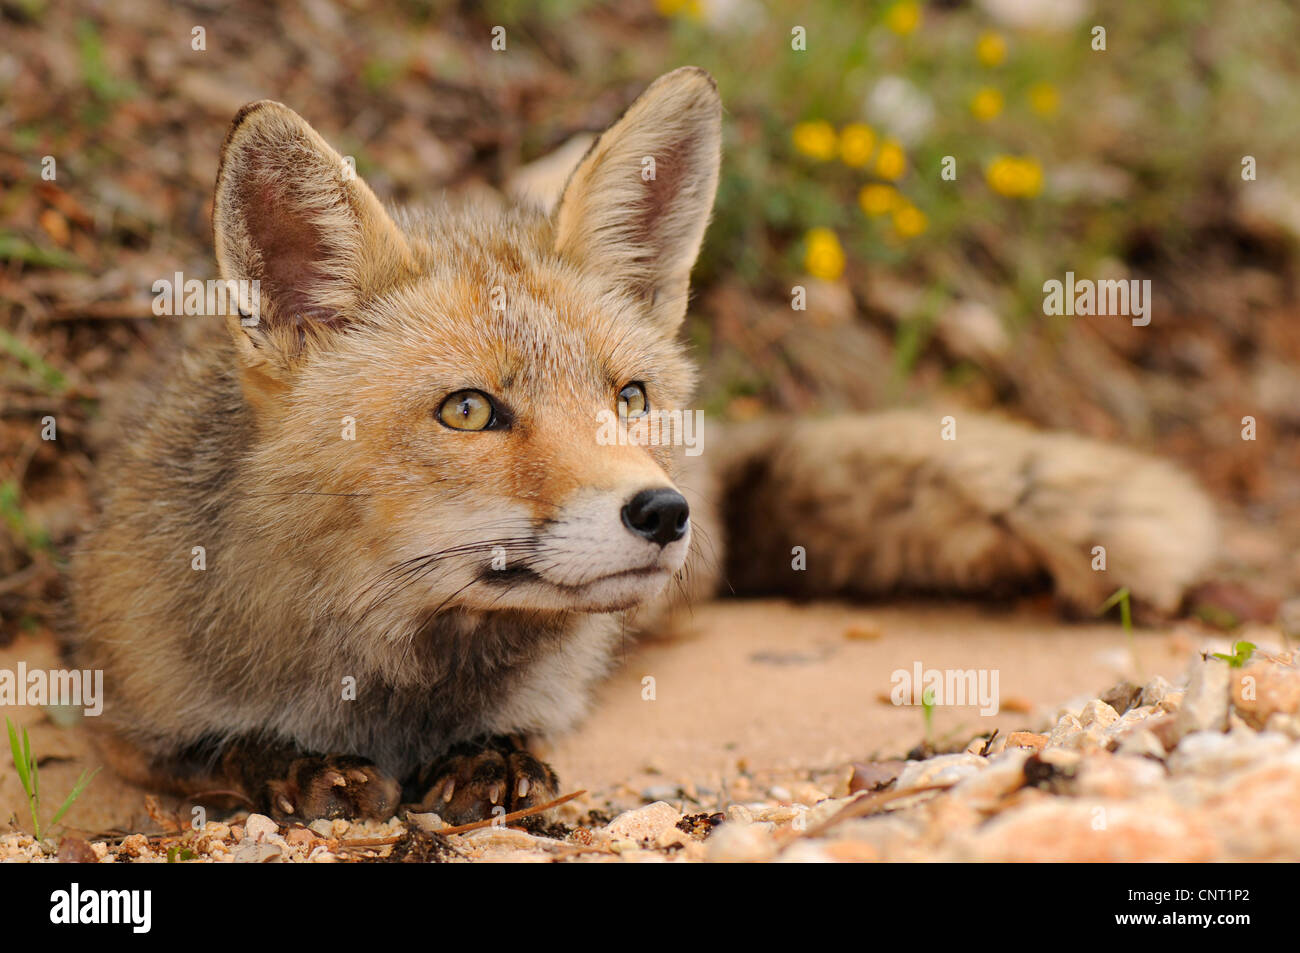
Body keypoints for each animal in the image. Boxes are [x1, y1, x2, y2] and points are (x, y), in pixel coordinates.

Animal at [71, 67, 1217, 825]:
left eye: (628, 397)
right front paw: (285, 764)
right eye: (469, 411)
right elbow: (207, 751)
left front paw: (492, 757)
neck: (395, 684)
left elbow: (521, 733)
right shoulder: (119, 700)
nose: (665, 512)